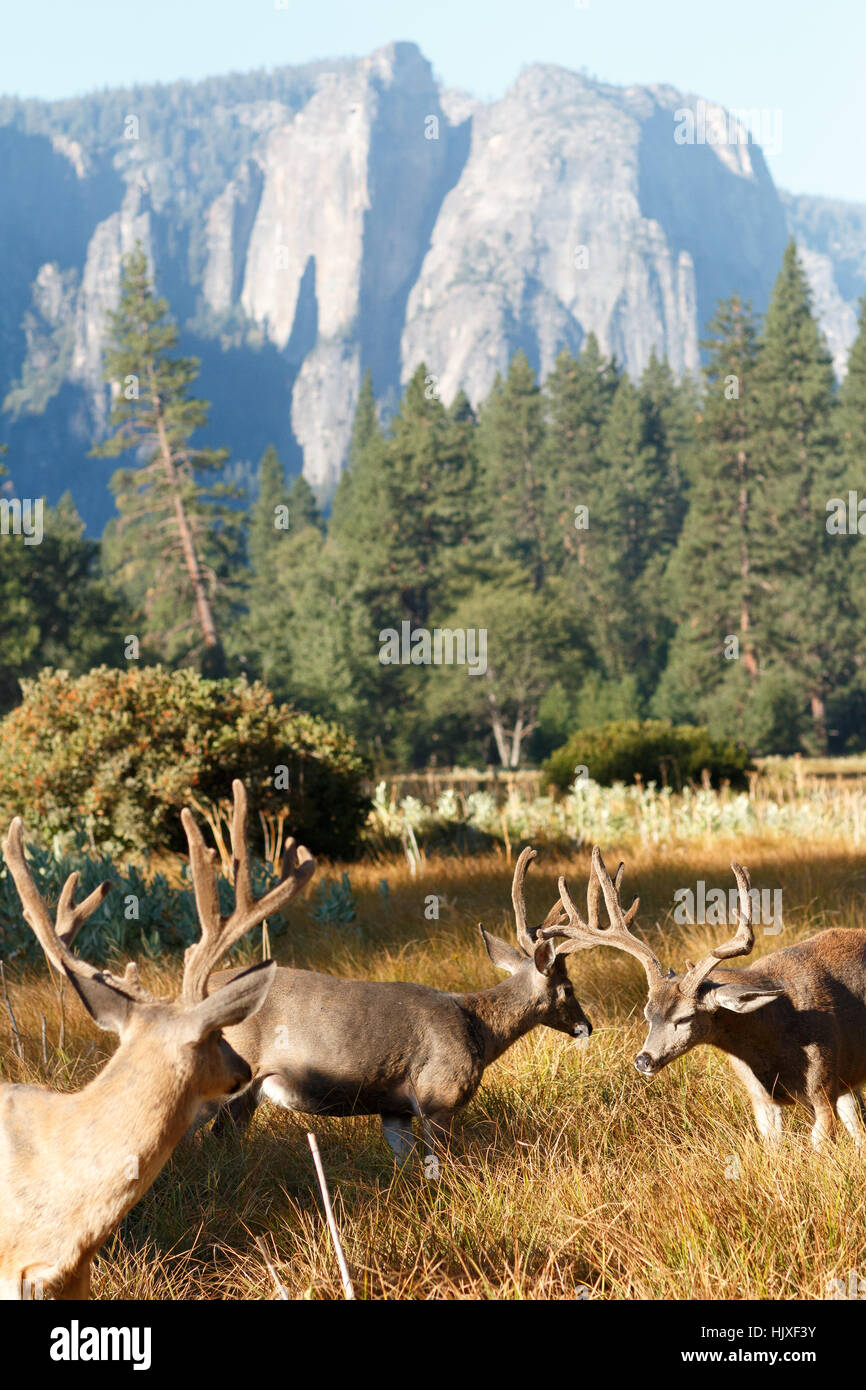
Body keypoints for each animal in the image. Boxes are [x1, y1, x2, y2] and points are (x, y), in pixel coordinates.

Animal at [197, 847, 592, 1165]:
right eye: (568, 988)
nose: (586, 1026)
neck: (479, 1029)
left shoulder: (394, 1110)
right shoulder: (438, 1096)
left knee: (222, 1138)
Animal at [544, 845, 866, 1149]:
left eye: (685, 1017)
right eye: (647, 1014)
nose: (643, 1060)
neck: (775, 1035)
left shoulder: (823, 1085)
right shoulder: (762, 1100)